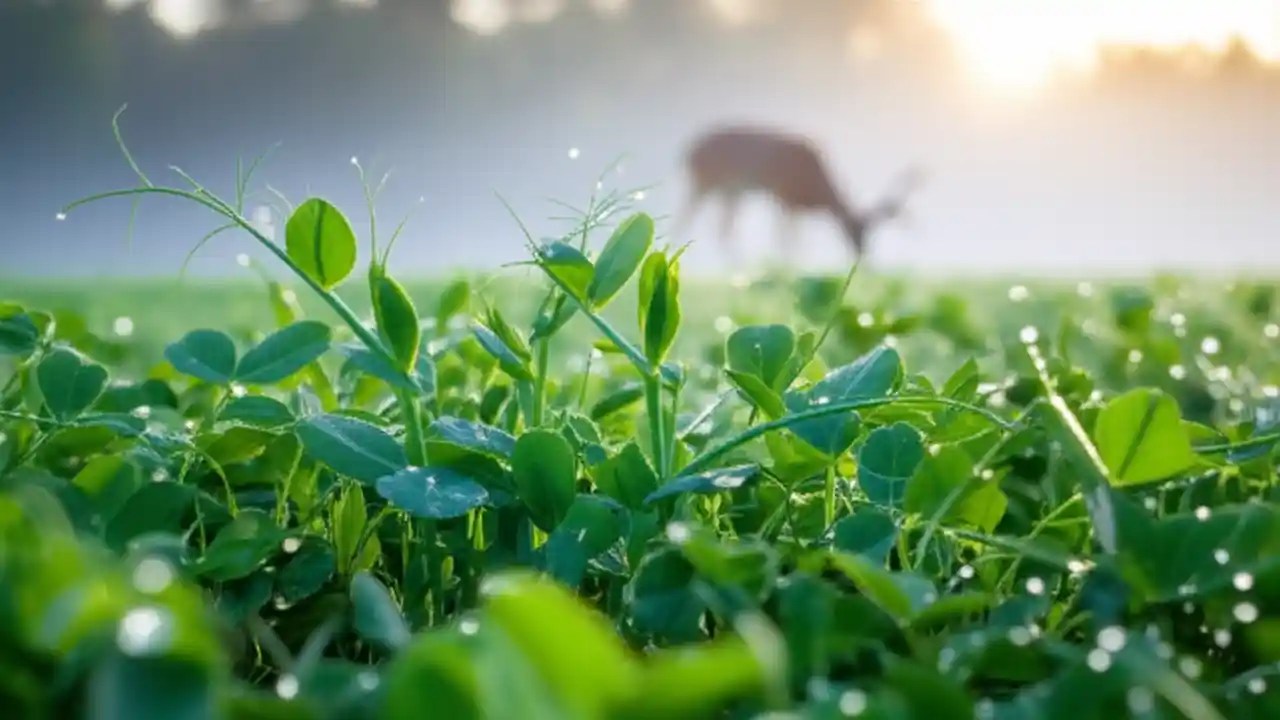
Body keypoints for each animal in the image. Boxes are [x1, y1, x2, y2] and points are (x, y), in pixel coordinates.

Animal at [677, 125, 922, 260]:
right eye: (854, 229)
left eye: (868, 232)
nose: (862, 254)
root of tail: (688, 152)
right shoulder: (783, 196)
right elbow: (786, 238)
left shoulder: (791, 203)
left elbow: (795, 239)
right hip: (706, 182)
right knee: (687, 218)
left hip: (731, 190)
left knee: (723, 227)